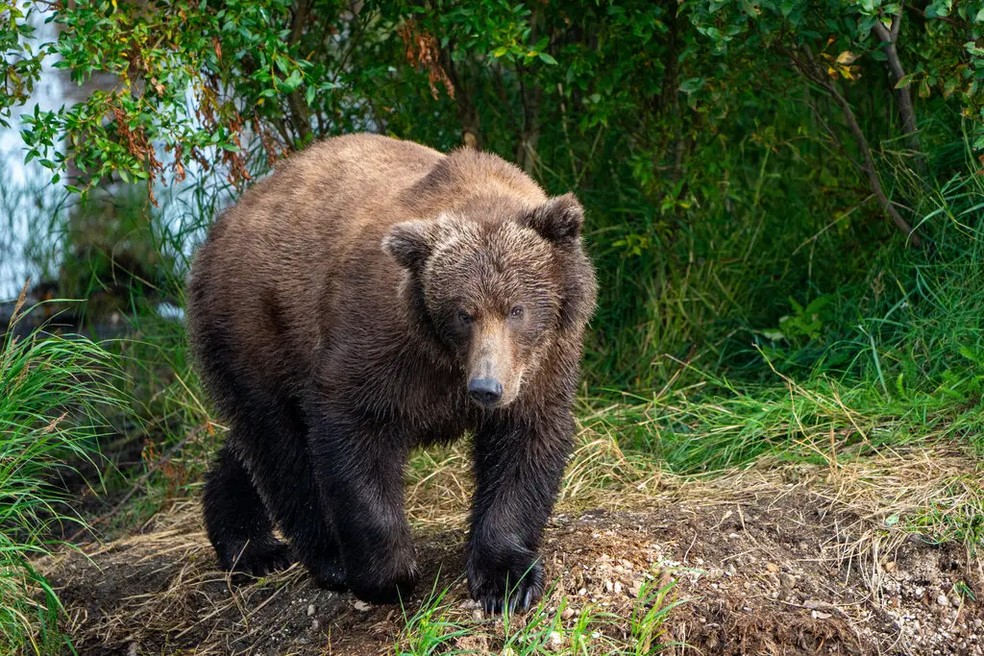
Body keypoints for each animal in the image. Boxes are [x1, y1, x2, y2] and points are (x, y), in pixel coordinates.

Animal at [186, 133, 597, 613]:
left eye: (517, 309)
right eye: (463, 313)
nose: (486, 388)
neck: (446, 360)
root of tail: (225, 222)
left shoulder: (541, 362)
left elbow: (524, 444)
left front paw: (506, 580)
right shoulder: (379, 341)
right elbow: (354, 432)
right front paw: (388, 575)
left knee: (250, 446)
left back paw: (247, 543)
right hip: (256, 324)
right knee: (279, 441)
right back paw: (321, 557)